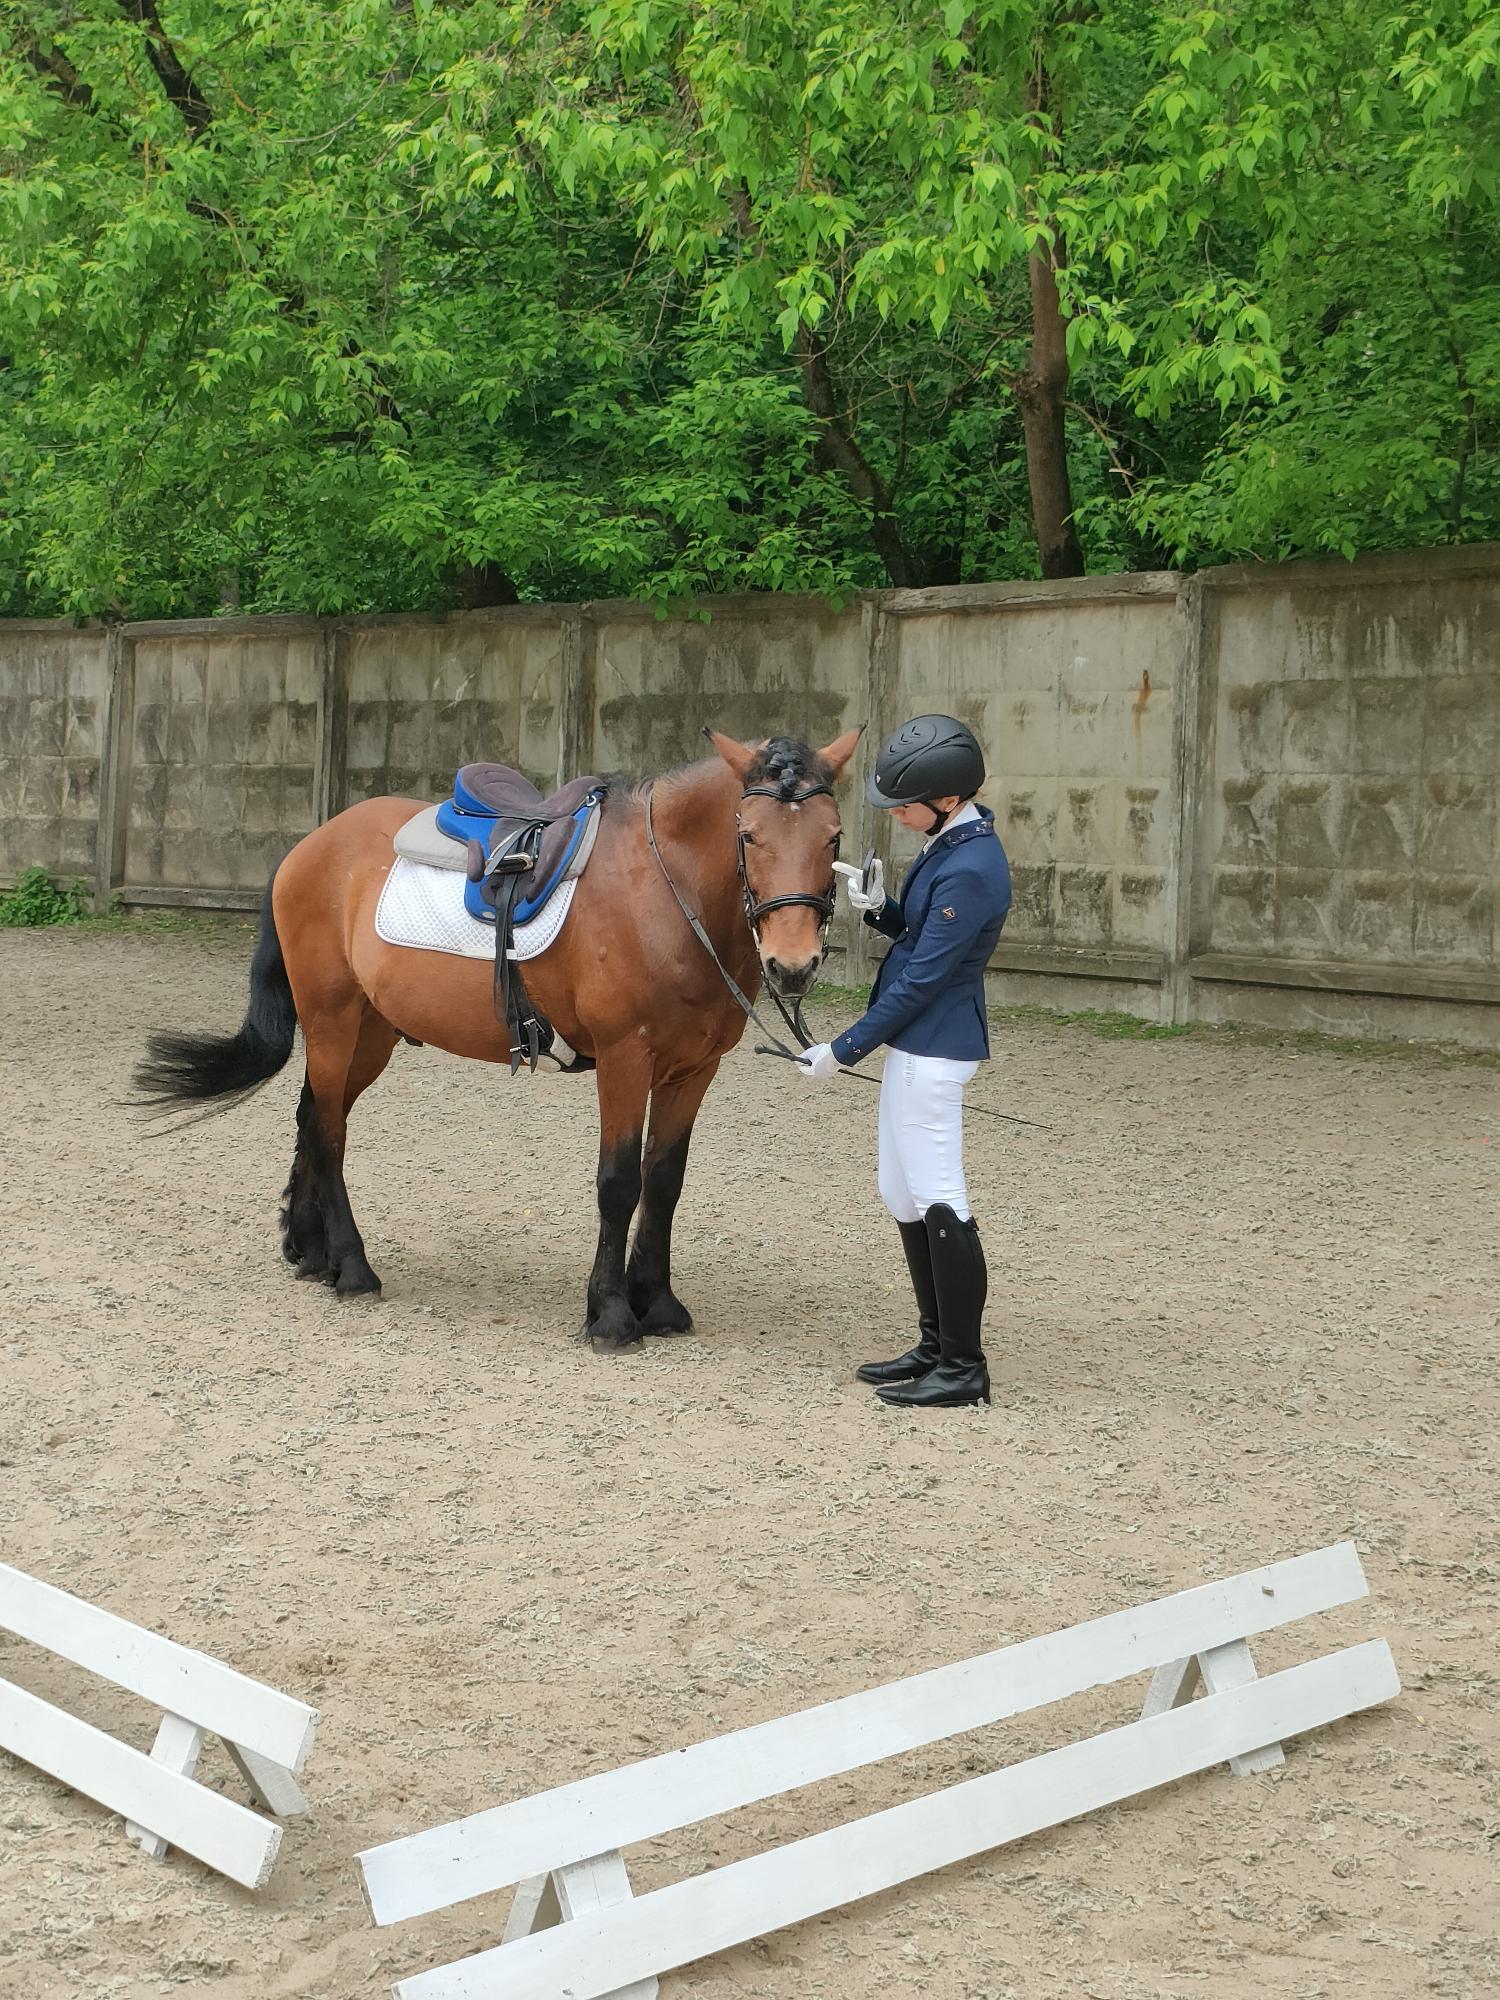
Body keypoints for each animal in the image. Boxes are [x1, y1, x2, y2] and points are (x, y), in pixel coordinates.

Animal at [134, 726, 863, 1351]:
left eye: (832, 836)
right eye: (749, 834)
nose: (793, 965)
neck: (664, 891)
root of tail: (309, 846)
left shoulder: (692, 1070)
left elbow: (664, 1182)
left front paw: (657, 1302)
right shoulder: (625, 1059)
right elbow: (619, 1182)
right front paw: (611, 1314)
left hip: (370, 1031)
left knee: (314, 1113)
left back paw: (310, 1251)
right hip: (332, 1019)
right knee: (329, 1131)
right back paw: (352, 1266)